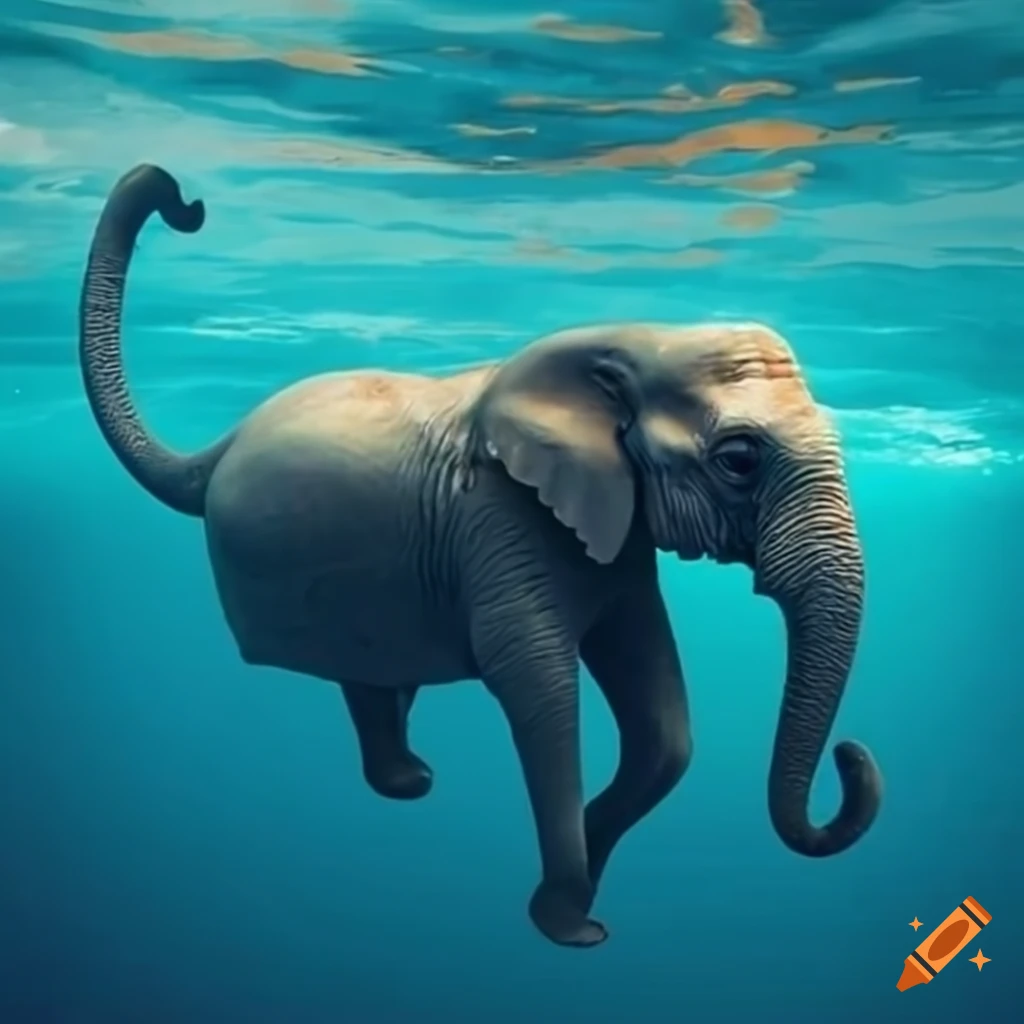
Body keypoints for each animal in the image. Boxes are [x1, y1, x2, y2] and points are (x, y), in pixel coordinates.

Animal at [78, 164, 882, 949]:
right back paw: (412, 786)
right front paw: (574, 928)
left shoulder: (613, 541)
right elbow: (541, 691)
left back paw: (409, 784)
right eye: (739, 460)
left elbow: (663, 724)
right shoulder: (501, 520)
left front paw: (586, 880)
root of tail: (216, 450)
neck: (635, 339)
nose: (850, 757)